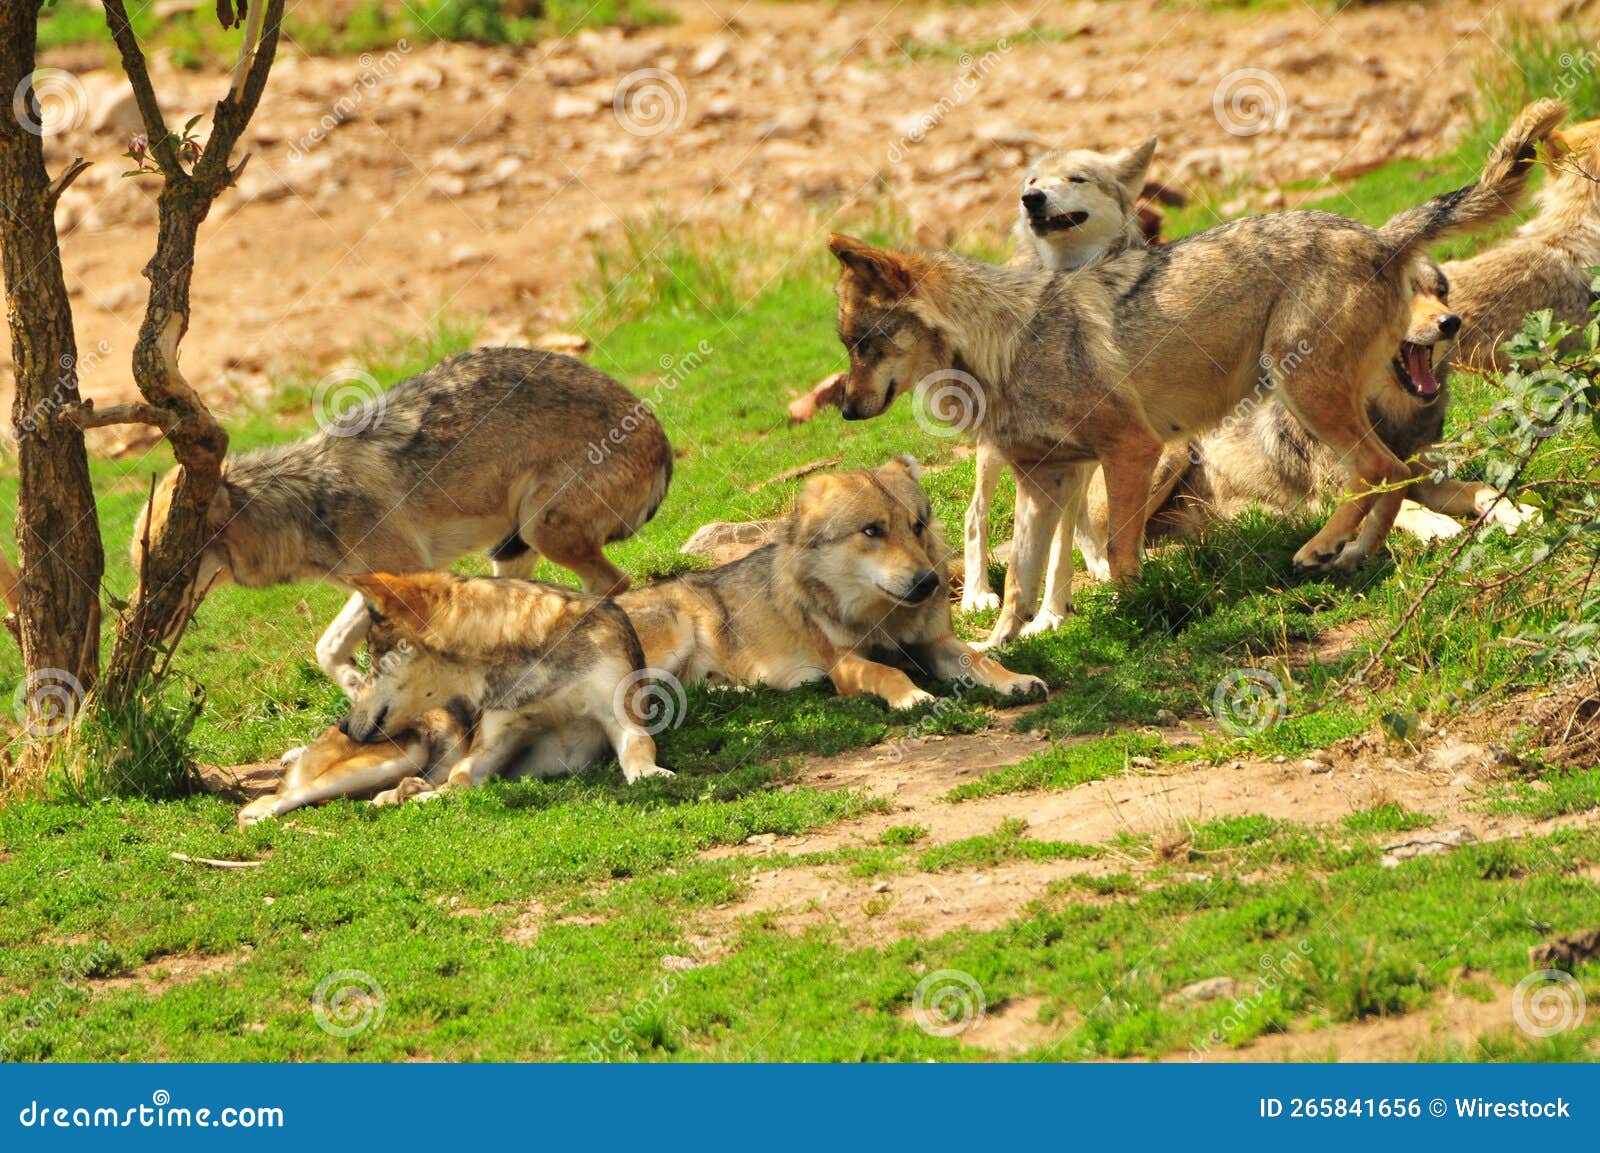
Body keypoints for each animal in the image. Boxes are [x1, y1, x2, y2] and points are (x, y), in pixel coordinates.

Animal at [133, 347, 672, 694]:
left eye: (162, 564)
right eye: (142, 569)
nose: (140, 627)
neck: (306, 502)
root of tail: (662, 439)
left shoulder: (410, 575)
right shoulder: (375, 581)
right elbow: (327, 646)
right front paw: (355, 687)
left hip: (541, 528)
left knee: (611, 585)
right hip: (511, 548)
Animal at [828, 100, 1564, 646]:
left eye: (863, 344)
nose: (846, 410)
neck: (1006, 343)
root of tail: (1379, 236)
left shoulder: (1129, 450)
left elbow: (1119, 556)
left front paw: (1133, 618)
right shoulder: (1043, 482)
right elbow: (1021, 583)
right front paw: (1001, 649)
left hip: (1296, 393)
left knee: (1381, 470)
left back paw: (1322, 549)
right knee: (1392, 475)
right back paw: (1351, 555)